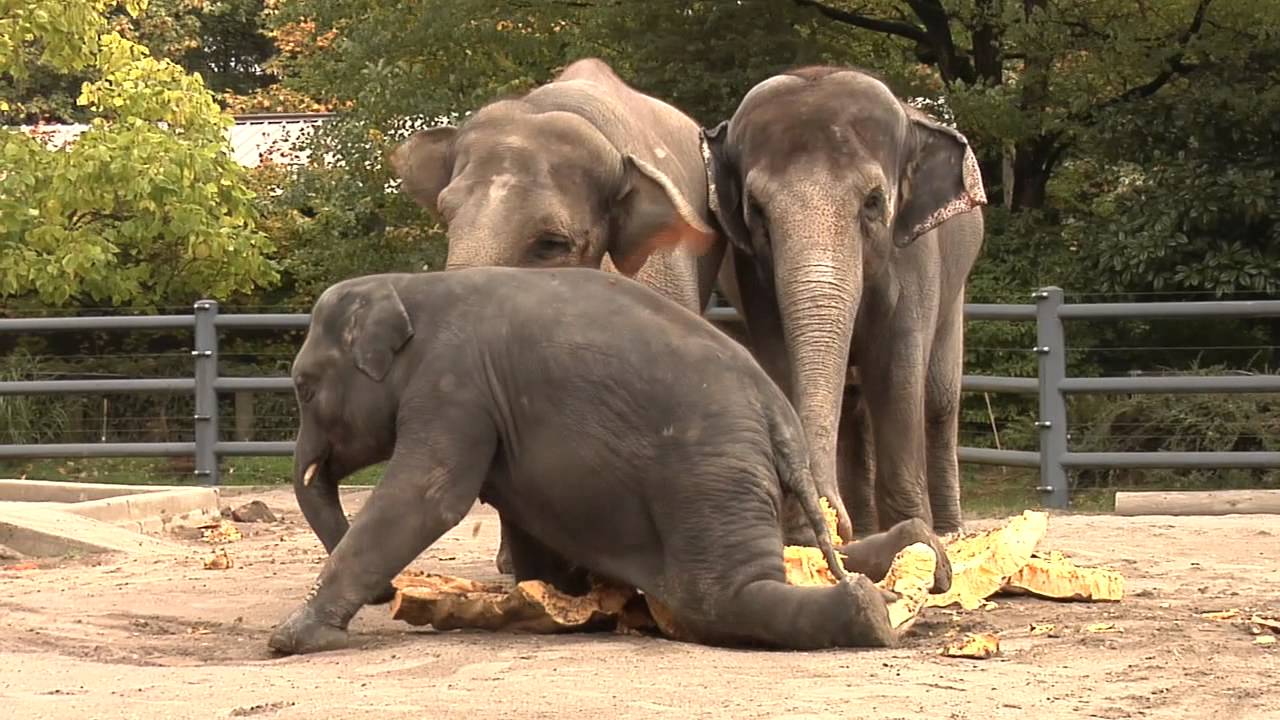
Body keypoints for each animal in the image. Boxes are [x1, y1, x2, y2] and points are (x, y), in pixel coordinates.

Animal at [268, 266, 952, 655]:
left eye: (303, 386)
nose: (388, 595)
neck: (408, 284)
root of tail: (774, 413)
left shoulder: (451, 384)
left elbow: (427, 495)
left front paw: (292, 639)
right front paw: (558, 601)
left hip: (705, 479)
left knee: (721, 595)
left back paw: (867, 615)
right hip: (741, 481)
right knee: (792, 553)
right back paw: (921, 555)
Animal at [701, 65, 988, 537]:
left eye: (873, 202)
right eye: (756, 210)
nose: (834, 518)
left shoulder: (915, 257)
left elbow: (897, 366)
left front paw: (915, 535)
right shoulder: (753, 273)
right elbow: (780, 360)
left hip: (956, 286)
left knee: (939, 399)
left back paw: (949, 531)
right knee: (854, 405)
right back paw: (870, 531)